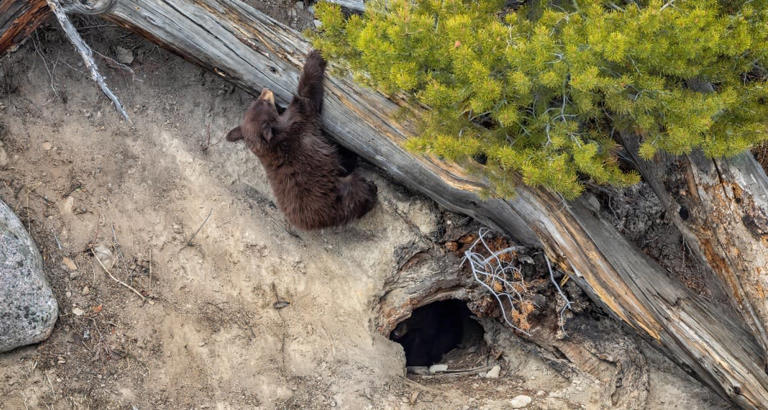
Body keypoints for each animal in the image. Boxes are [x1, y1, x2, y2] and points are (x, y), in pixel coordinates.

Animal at [225, 50, 377, 230]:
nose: (265, 89)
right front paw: (316, 56)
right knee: (357, 191)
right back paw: (370, 187)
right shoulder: (298, 124)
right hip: (337, 194)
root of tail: (313, 223)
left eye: (259, 100)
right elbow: (307, 98)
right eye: (264, 101)